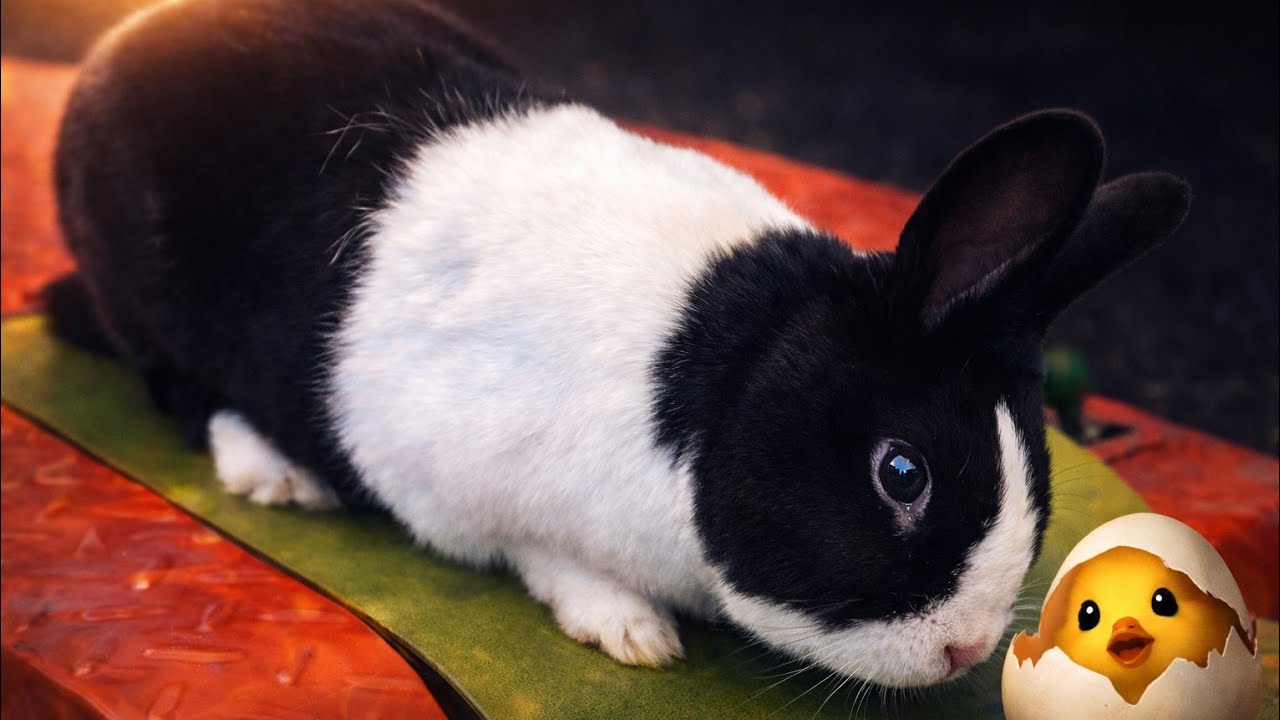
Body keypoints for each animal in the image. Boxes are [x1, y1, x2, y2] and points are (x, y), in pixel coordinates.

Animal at [47, 0, 1191, 688]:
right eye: (899, 472)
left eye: (1041, 474)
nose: (961, 651)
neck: (719, 381)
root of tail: (111, 51)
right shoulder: (458, 486)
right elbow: (546, 559)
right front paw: (633, 634)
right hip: (151, 303)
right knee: (179, 391)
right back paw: (277, 474)